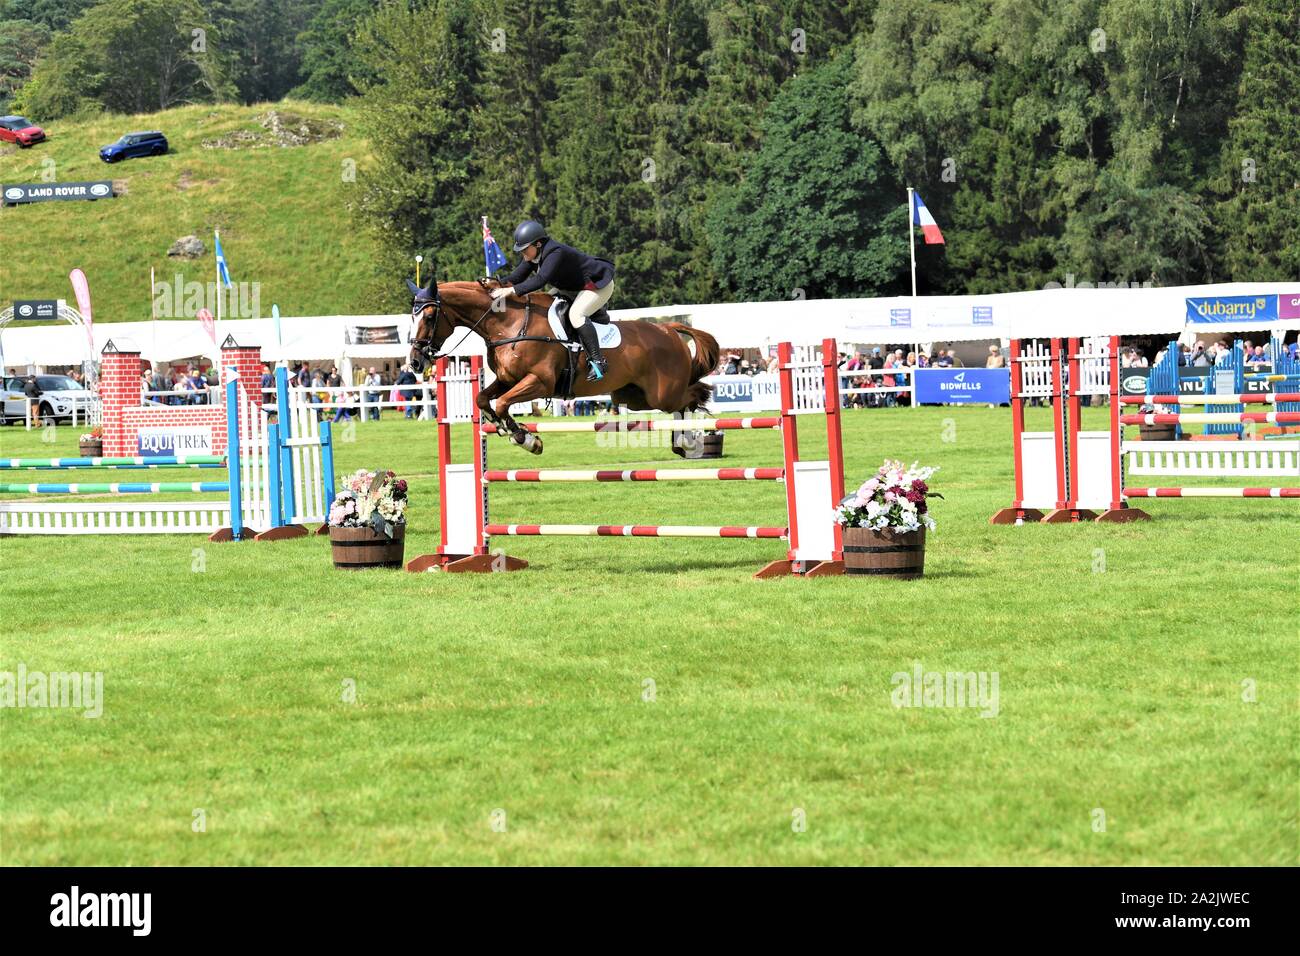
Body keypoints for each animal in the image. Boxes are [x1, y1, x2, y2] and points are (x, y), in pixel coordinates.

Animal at [407, 276, 720, 455]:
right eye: (412, 317)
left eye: (430, 316)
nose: (415, 361)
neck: (508, 323)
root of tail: (669, 329)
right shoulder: (508, 380)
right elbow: (483, 399)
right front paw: (504, 427)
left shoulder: (539, 381)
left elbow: (503, 403)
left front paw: (524, 438)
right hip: (631, 396)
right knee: (685, 400)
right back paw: (684, 440)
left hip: (661, 394)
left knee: (693, 395)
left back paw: (692, 438)